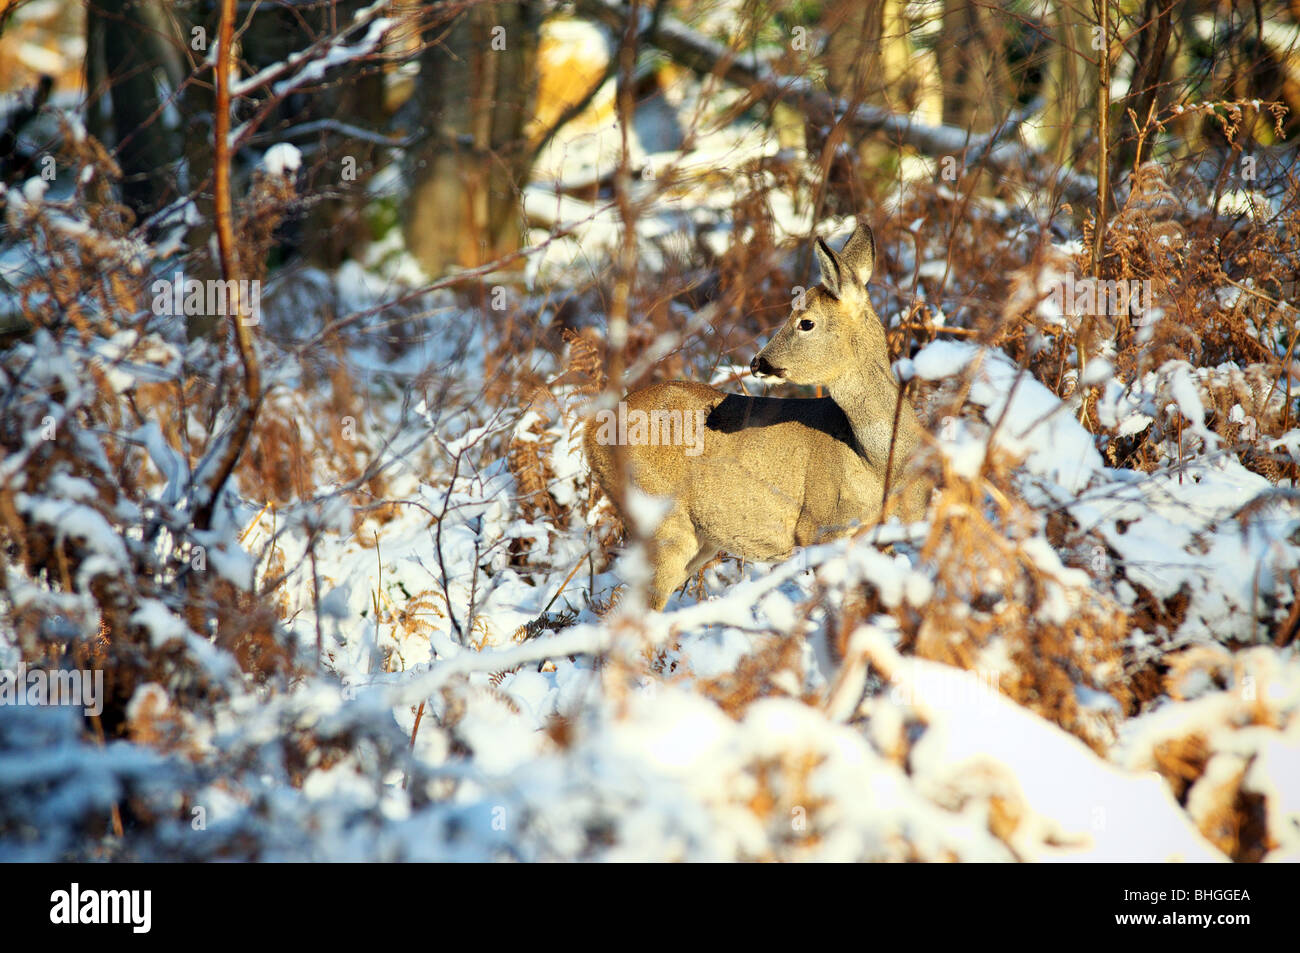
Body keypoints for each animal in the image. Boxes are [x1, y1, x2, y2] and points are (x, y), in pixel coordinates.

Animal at [584, 219, 930, 610]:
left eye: (805, 322)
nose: (757, 362)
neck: (878, 461)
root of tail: (590, 430)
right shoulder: (820, 528)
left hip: (698, 540)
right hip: (660, 516)